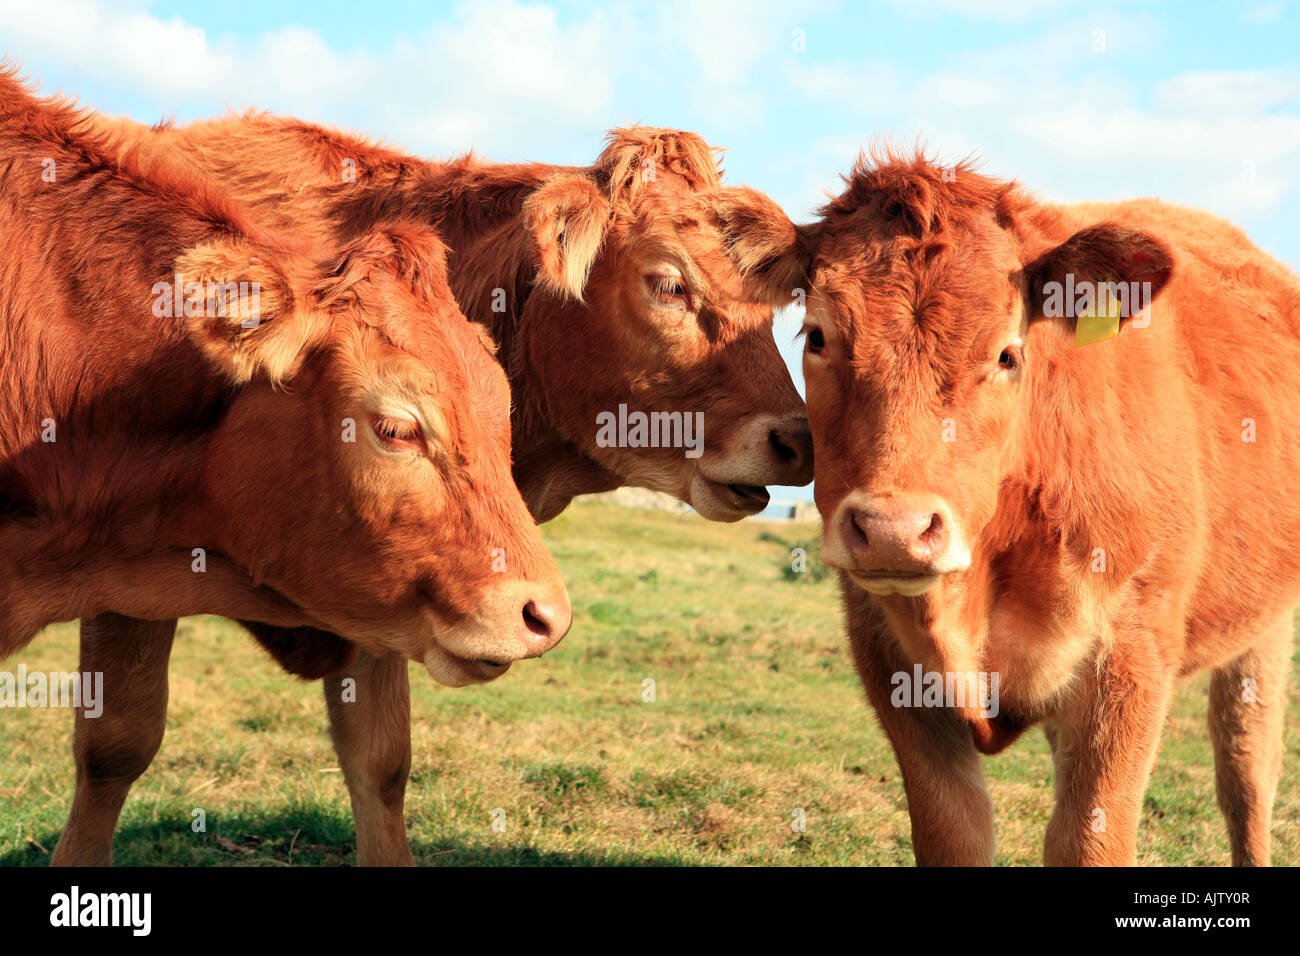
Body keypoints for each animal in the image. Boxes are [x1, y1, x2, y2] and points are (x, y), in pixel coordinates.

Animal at [800, 149, 1300, 866]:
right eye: (816, 336)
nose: (894, 531)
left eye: (1008, 354)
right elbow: (954, 831)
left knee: (1247, 770)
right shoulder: (887, 658)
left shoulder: (1130, 658)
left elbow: (1090, 840)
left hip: (1265, 628)